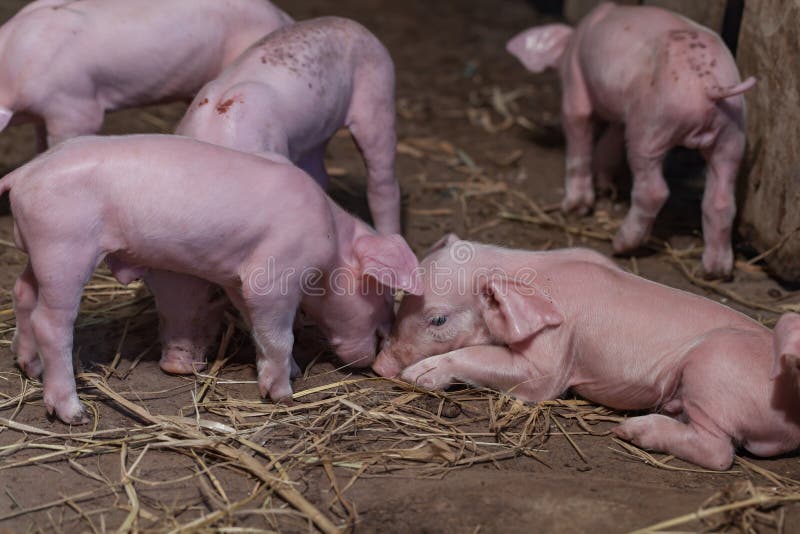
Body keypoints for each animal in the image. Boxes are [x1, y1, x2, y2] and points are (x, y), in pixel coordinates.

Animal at [2, 134, 421, 424]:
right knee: (50, 323)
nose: (371, 360)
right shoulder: (272, 276)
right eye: (381, 293)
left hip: (40, 253)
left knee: (22, 292)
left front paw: (292, 373)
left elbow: (258, 330)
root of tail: (24, 173)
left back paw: (29, 366)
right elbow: (280, 336)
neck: (330, 239)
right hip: (63, 249)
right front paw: (284, 395)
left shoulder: (238, 280)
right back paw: (74, 413)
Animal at [176, 16, 401, 235]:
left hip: (379, 93)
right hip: (316, 131)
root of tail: (357, 25)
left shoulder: (274, 141)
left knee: (384, 182)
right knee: (320, 172)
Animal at [373, 235, 800, 470]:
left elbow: (531, 380)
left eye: (438, 319)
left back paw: (631, 431)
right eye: (402, 299)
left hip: (713, 369)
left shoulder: (552, 352)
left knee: (719, 451)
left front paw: (418, 376)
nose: (380, 365)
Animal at [506, 2, 756, 278]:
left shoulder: (575, 82)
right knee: (721, 198)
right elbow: (610, 142)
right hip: (732, 132)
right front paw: (604, 186)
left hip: (652, 125)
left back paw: (620, 245)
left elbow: (579, 128)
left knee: (653, 190)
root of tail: (709, 84)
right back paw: (715, 271)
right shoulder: (622, 115)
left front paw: (575, 208)